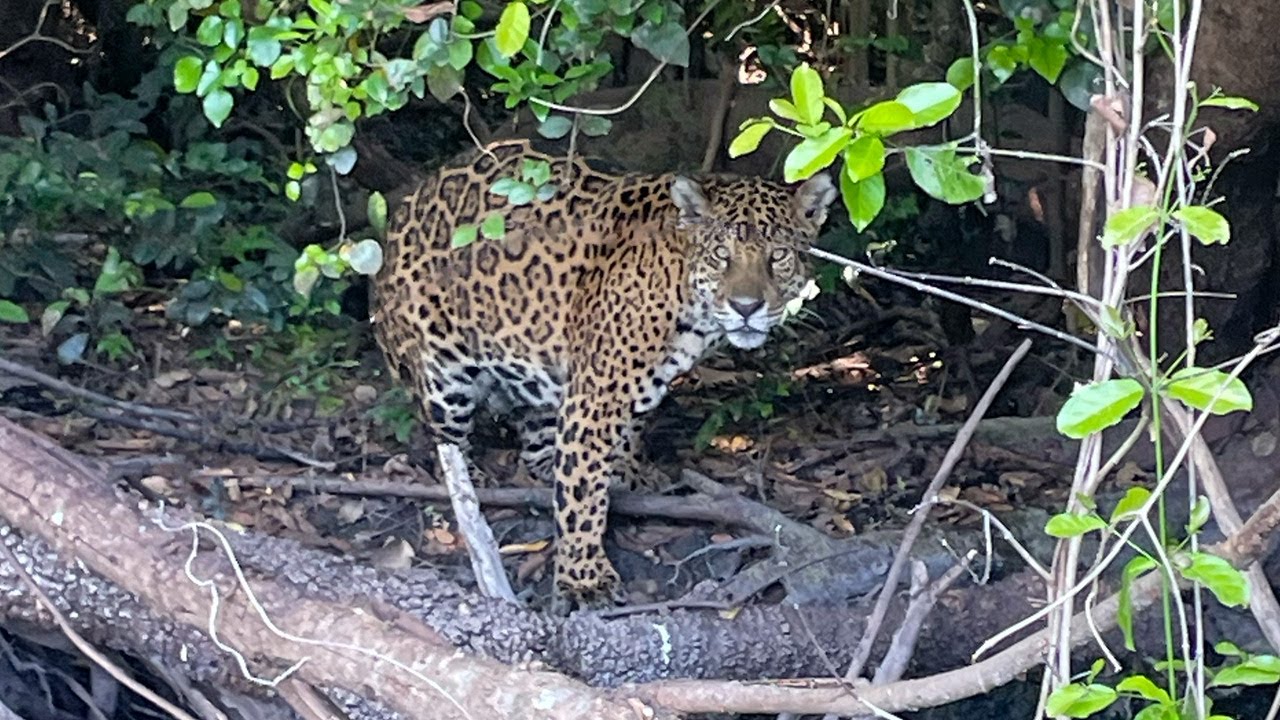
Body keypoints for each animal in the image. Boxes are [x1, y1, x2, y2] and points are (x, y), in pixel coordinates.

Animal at [370, 139, 836, 610]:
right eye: (721, 256)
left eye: (778, 256)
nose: (746, 307)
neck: (686, 296)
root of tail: (408, 204)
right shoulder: (595, 396)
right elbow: (582, 493)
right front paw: (584, 580)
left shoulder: (637, 383)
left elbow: (623, 437)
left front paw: (629, 472)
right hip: (441, 376)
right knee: (445, 438)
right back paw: (470, 478)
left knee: (536, 447)